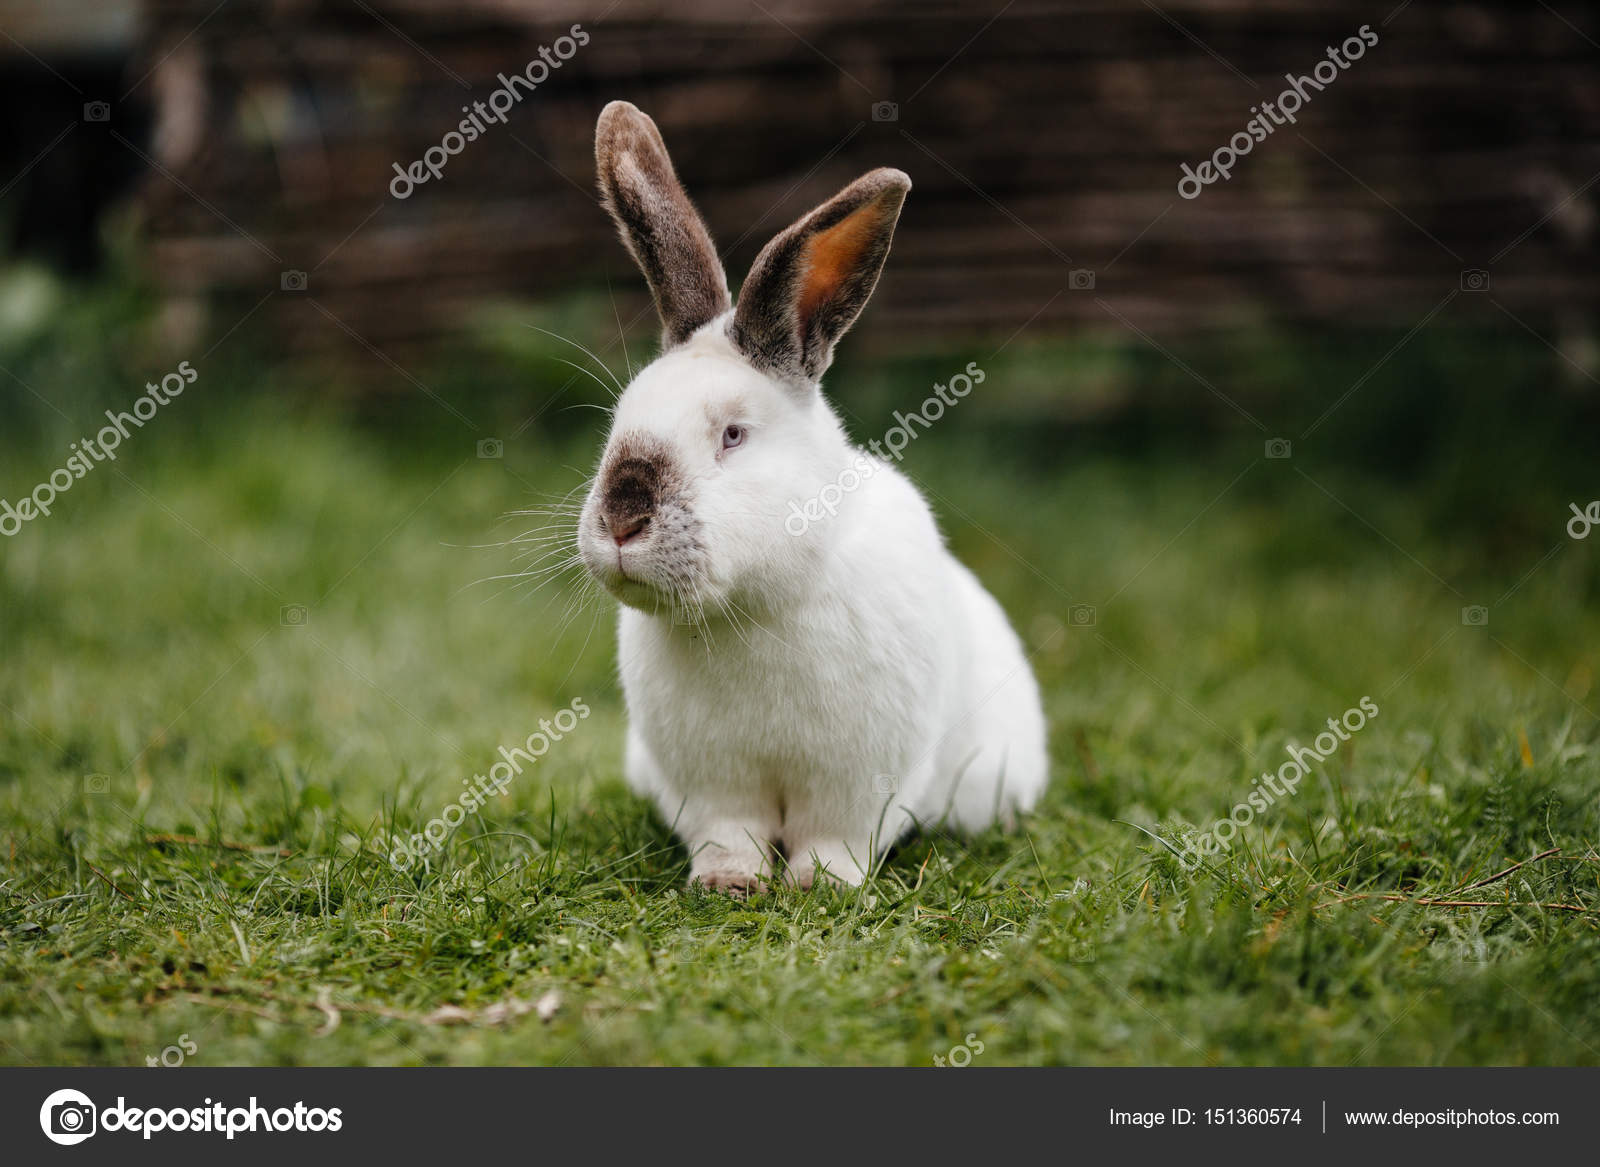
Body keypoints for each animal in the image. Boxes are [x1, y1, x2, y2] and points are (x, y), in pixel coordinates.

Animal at [575, 101, 1048, 894]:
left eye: (733, 435)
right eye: (619, 420)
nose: (622, 519)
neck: (751, 609)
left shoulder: (859, 780)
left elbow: (838, 836)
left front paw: (818, 885)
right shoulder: (712, 783)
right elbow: (727, 833)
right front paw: (728, 883)